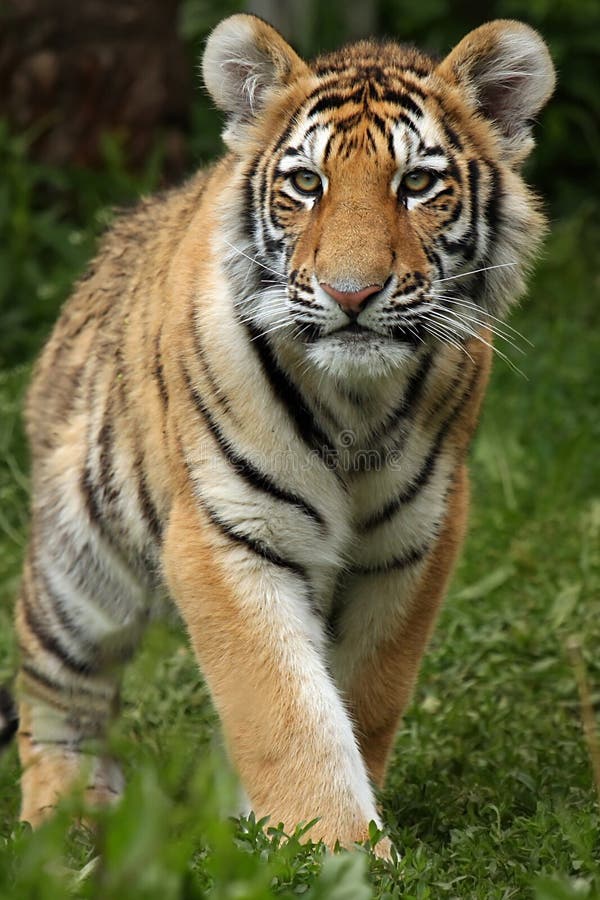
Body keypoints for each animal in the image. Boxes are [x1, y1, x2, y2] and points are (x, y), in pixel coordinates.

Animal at [10, 14, 554, 856]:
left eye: (416, 185)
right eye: (306, 184)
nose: (351, 293)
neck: (357, 405)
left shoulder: (413, 543)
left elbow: (361, 697)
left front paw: (291, 839)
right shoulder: (228, 535)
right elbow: (284, 712)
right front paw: (342, 855)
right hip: (80, 566)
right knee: (53, 694)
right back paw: (64, 825)